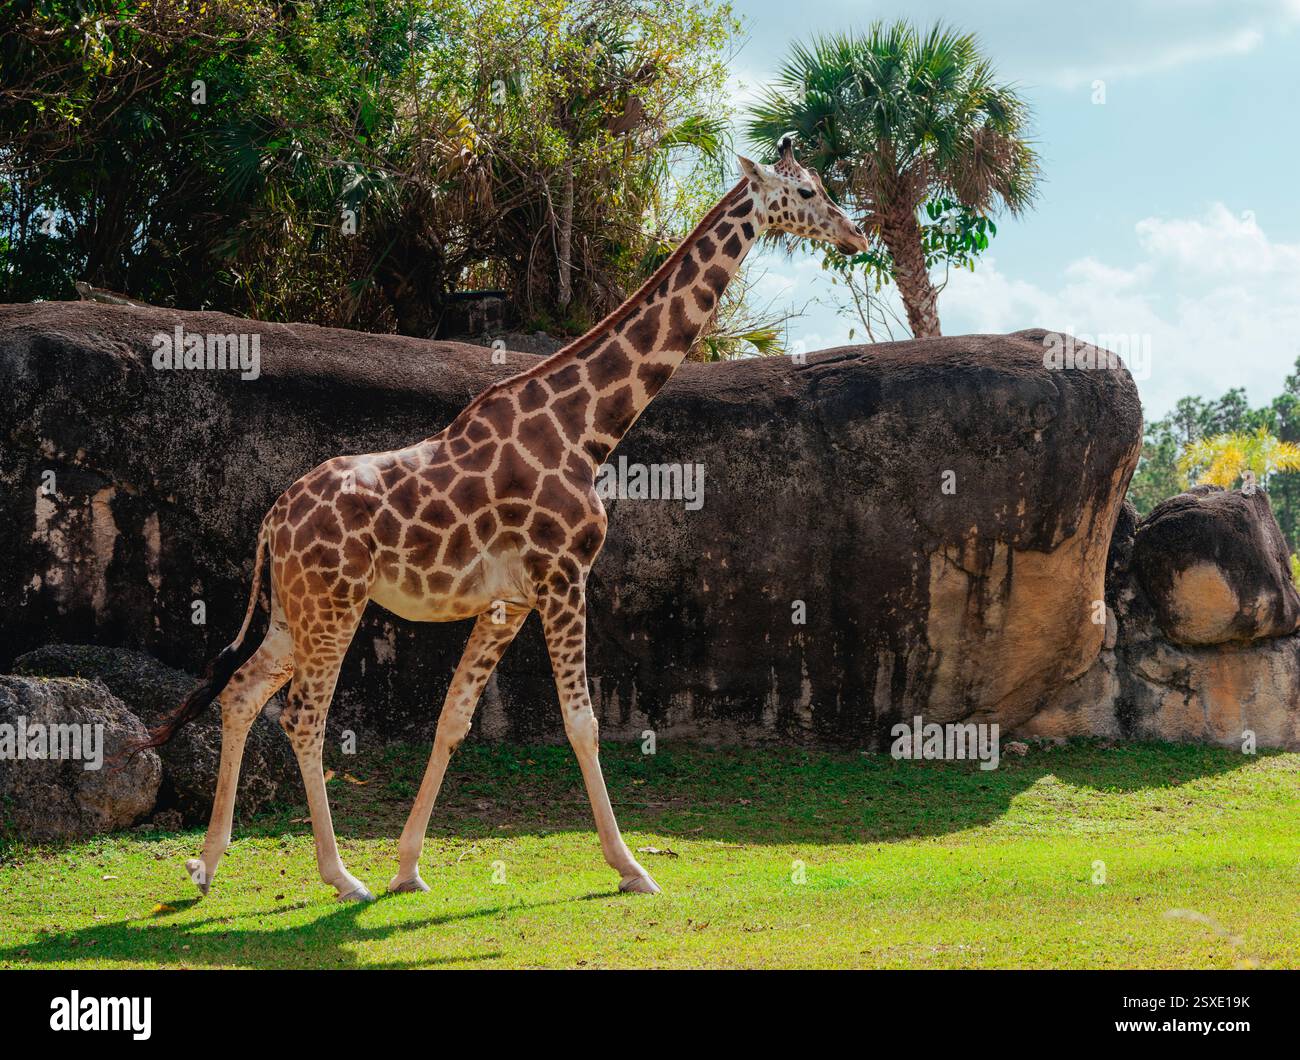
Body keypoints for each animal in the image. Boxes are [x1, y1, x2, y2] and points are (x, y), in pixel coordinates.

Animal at [135, 136, 870, 901]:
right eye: (809, 192)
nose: (856, 234)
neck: (585, 431)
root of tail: (272, 520)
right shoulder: (563, 577)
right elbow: (581, 722)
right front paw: (631, 867)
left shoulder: (508, 601)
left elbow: (453, 719)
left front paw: (408, 865)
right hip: (337, 604)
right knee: (304, 717)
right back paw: (340, 876)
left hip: (295, 610)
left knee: (241, 692)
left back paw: (208, 863)